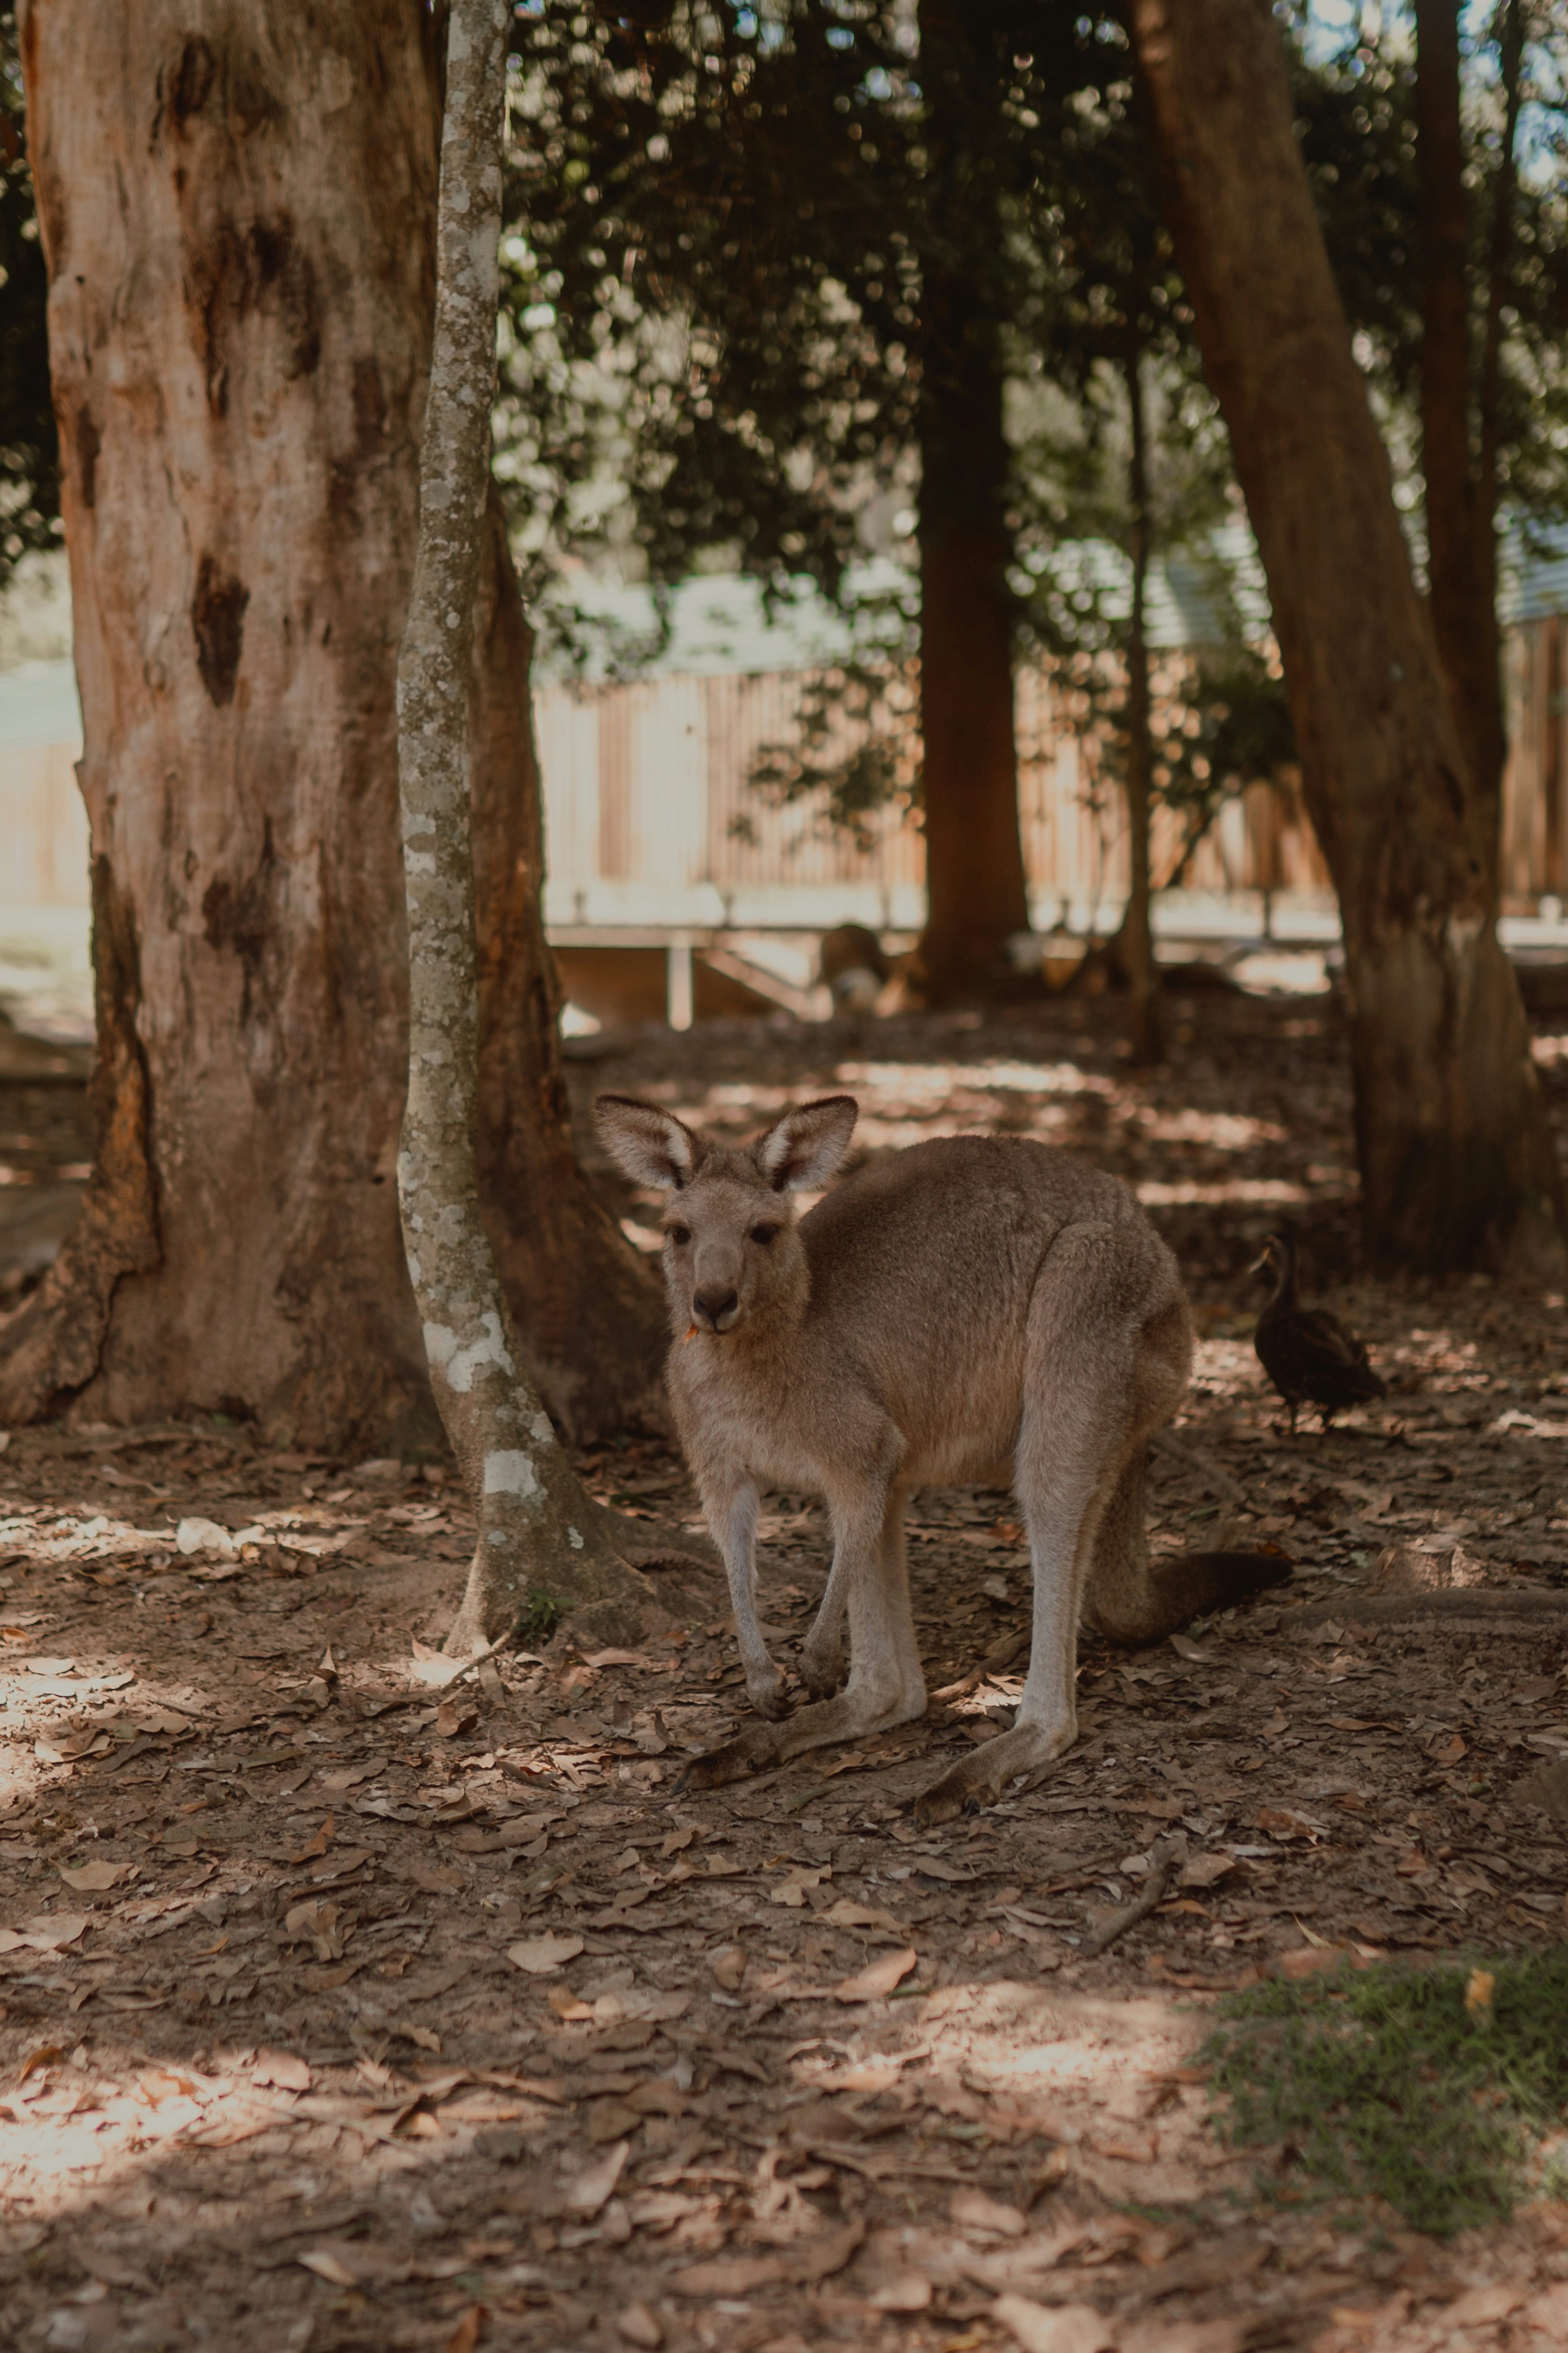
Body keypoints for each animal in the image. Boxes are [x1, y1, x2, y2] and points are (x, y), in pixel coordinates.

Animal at [594, 1091, 1286, 1824]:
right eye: (679, 1233)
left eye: (762, 1232)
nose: (712, 1302)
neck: (770, 1335)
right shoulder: (718, 1457)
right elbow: (732, 1543)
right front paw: (762, 1678)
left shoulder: (858, 1441)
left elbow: (841, 1525)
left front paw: (812, 1661)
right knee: (893, 1687)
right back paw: (754, 1745)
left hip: (1089, 1309)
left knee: (1051, 1509)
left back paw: (969, 1772)